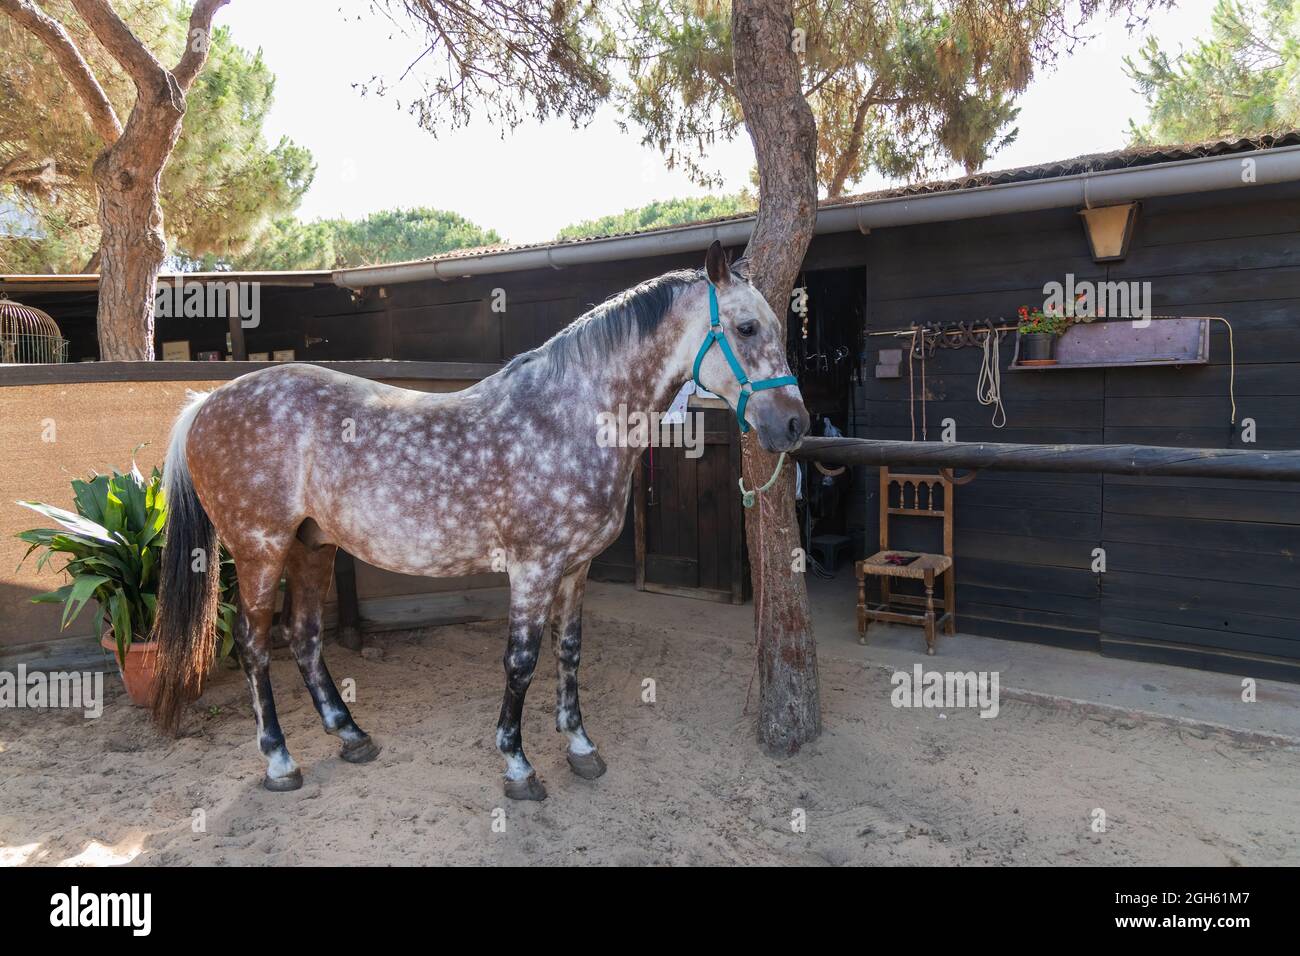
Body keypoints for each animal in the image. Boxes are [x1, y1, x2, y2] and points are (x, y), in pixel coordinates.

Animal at [150, 241, 809, 801]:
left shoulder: (576, 569)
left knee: (305, 637)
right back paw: (280, 760)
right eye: (746, 328)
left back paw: (351, 734)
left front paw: (580, 746)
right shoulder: (533, 569)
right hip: (259, 549)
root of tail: (204, 405)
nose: (795, 424)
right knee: (254, 643)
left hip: (313, 548)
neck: (566, 417)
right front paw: (517, 764)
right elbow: (522, 662)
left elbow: (569, 652)